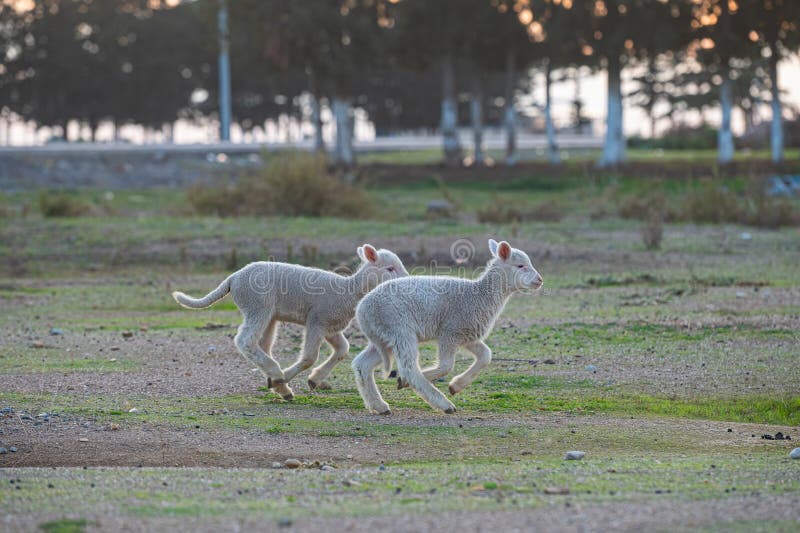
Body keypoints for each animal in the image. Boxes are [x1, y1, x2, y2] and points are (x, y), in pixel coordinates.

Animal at [172, 244, 408, 400]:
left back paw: (278, 384)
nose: (406, 281)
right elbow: (309, 357)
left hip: (269, 315)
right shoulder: (317, 320)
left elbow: (343, 350)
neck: (349, 292)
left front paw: (314, 380)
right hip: (257, 305)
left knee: (262, 345)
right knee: (245, 341)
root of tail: (233, 278)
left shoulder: (330, 325)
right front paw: (285, 378)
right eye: (389, 269)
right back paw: (277, 376)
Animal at [351, 239, 543, 414]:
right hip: (399, 328)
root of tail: (362, 309)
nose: (540, 280)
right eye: (521, 265)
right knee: (409, 369)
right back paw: (442, 403)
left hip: (384, 336)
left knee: (362, 365)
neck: (479, 295)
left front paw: (456, 386)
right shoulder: (450, 331)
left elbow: (486, 356)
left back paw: (379, 406)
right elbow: (447, 366)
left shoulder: (467, 333)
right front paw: (409, 382)